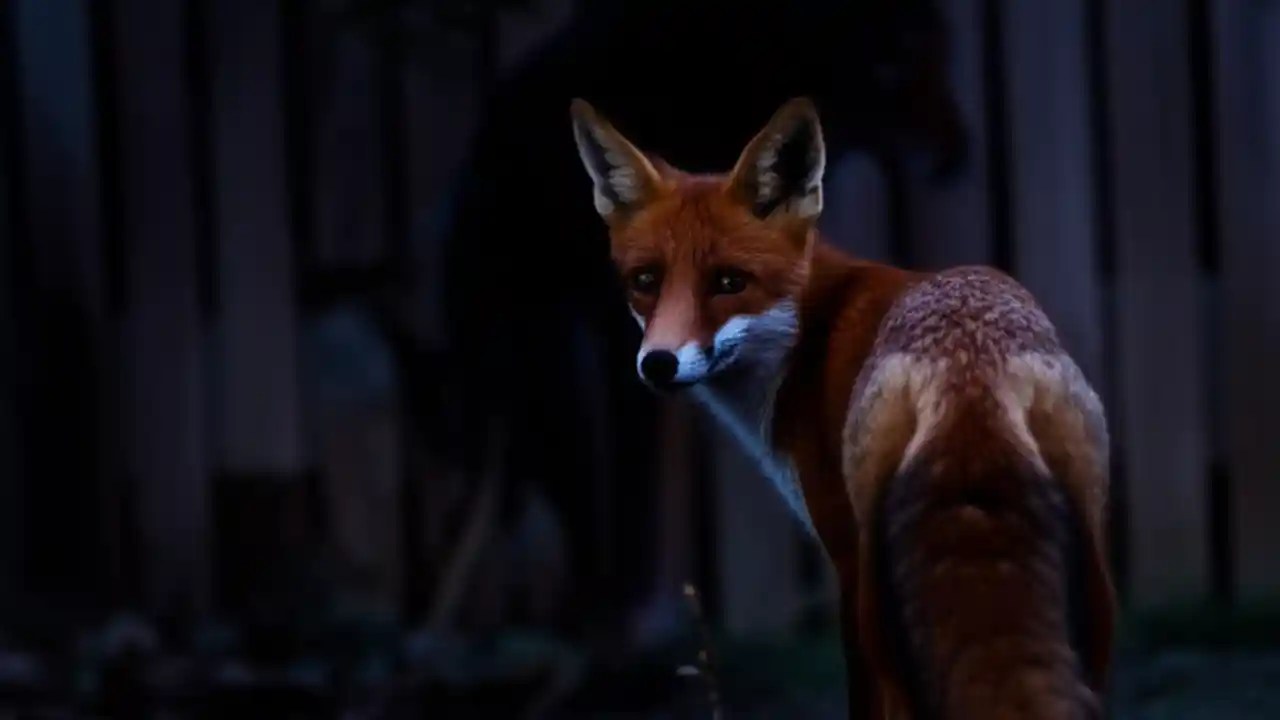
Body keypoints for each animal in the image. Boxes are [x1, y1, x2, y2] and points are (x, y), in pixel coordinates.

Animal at [569, 96, 1116, 720]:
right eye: (645, 281)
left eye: (730, 282)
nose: (658, 363)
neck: (808, 335)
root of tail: (970, 368)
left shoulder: (844, 558)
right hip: (1095, 592)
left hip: (878, 599)